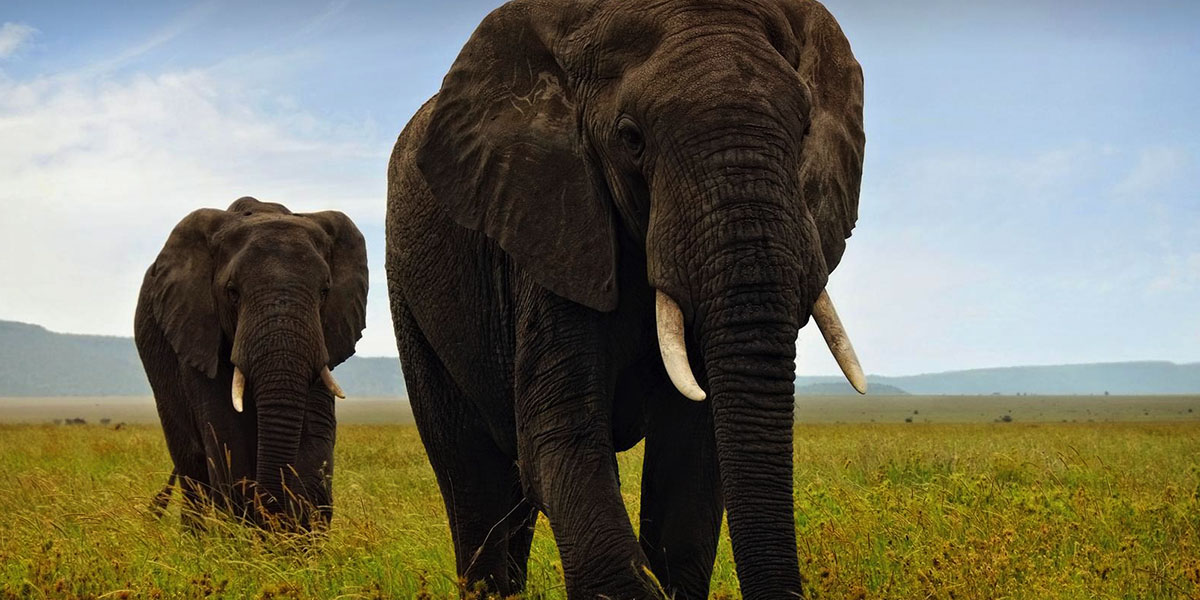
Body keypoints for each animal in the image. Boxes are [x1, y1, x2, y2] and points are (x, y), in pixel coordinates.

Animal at [135, 197, 368, 531]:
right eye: (232, 292)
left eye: (325, 291)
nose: (270, 512)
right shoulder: (197, 329)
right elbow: (227, 435)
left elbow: (315, 436)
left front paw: (298, 535)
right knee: (192, 469)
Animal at [385, 0, 866, 597]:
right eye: (631, 138)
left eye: (804, 129)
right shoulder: (554, 226)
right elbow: (560, 444)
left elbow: (690, 463)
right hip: (410, 296)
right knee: (477, 486)